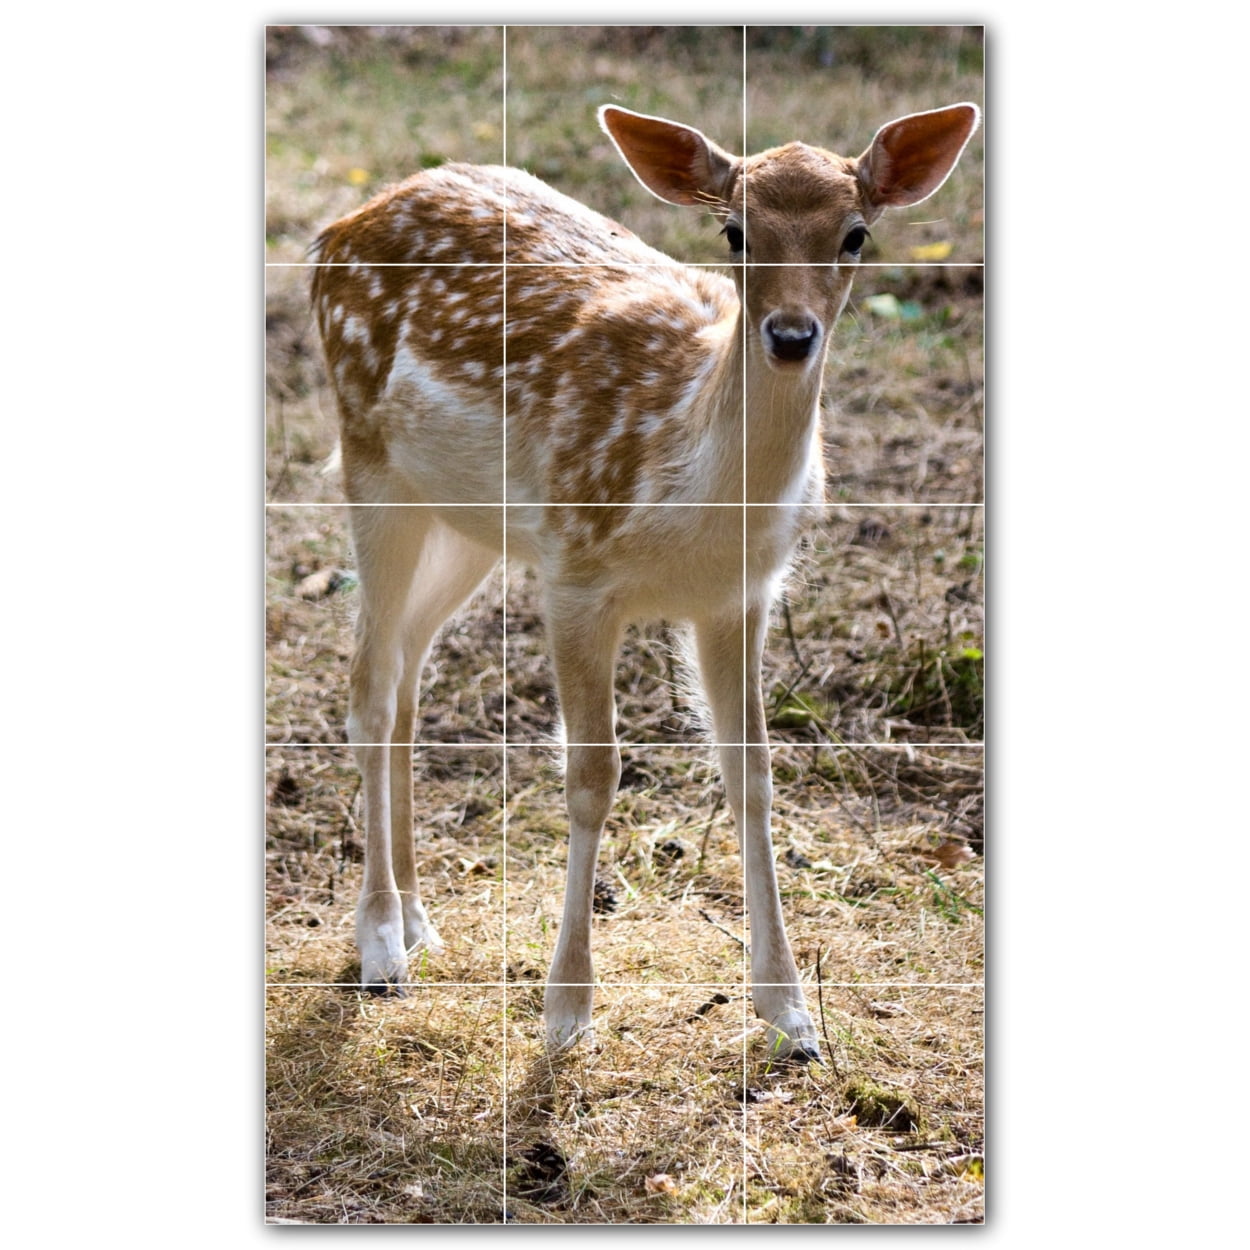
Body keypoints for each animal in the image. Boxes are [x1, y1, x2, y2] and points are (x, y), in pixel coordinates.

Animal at [309, 101, 980, 1061]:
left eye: (856, 234)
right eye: (735, 232)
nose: (790, 336)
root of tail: (339, 227)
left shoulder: (741, 595)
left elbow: (753, 772)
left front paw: (791, 1013)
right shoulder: (575, 570)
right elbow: (593, 776)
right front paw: (564, 1014)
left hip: (467, 523)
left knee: (404, 677)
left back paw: (419, 920)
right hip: (368, 459)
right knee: (368, 684)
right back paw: (380, 948)